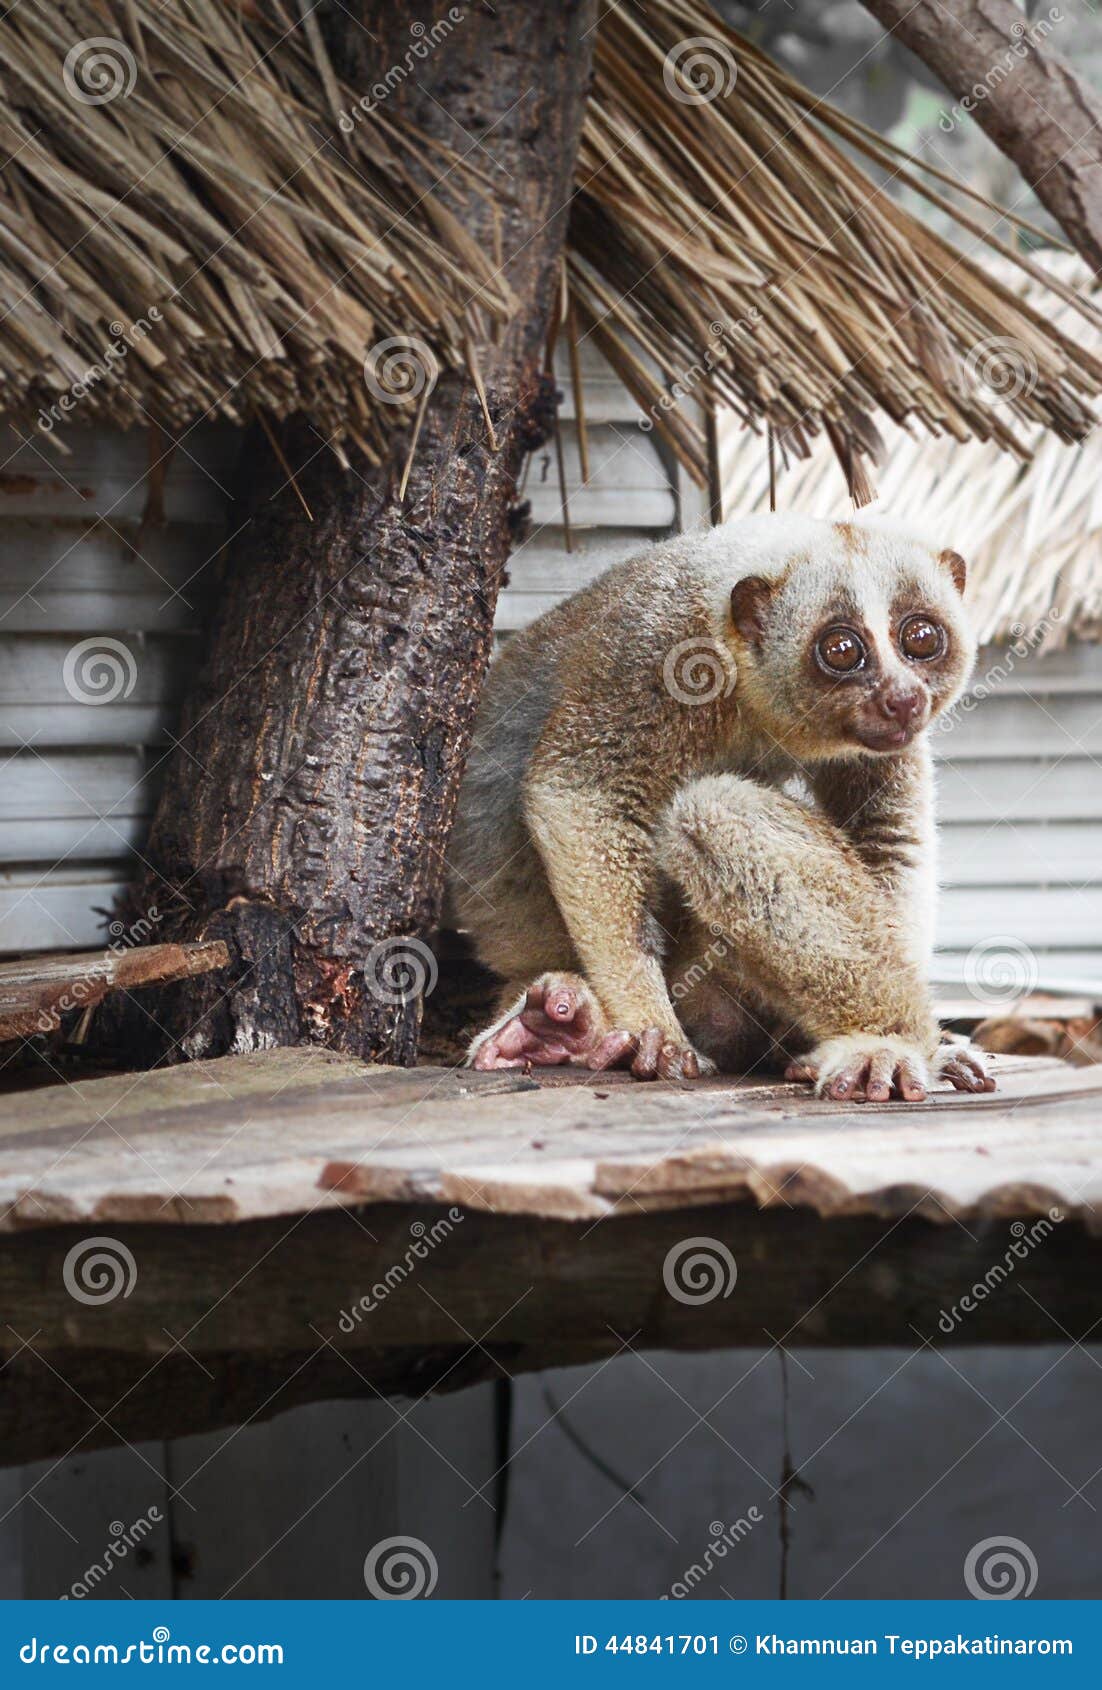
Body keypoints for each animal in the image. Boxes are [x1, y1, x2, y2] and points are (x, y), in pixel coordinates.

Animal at [447, 513, 995, 1103]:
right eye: (842, 650)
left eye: (922, 638)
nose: (903, 698)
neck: (743, 686)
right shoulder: (648, 648)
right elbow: (577, 790)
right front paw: (651, 1028)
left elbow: (888, 836)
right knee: (710, 811)